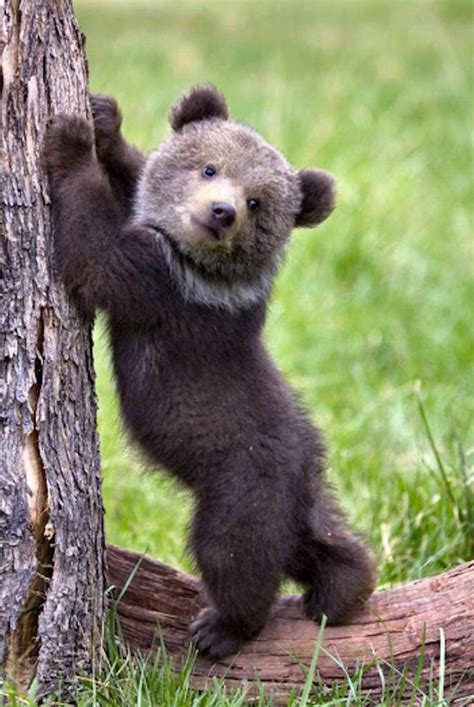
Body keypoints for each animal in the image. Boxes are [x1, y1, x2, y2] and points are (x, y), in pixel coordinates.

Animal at [43, 85, 377, 660]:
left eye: (257, 201)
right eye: (209, 167)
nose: (222, 211)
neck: (198, 264)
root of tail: (301, 465)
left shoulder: (162, 286)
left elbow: (95, 252)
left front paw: (70, 140)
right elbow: (132, 184)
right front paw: (105, 121)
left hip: (240, 486)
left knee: (233, 555)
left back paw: (222, 629)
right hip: (297, 495)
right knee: (319, 542)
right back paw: (343, 593)